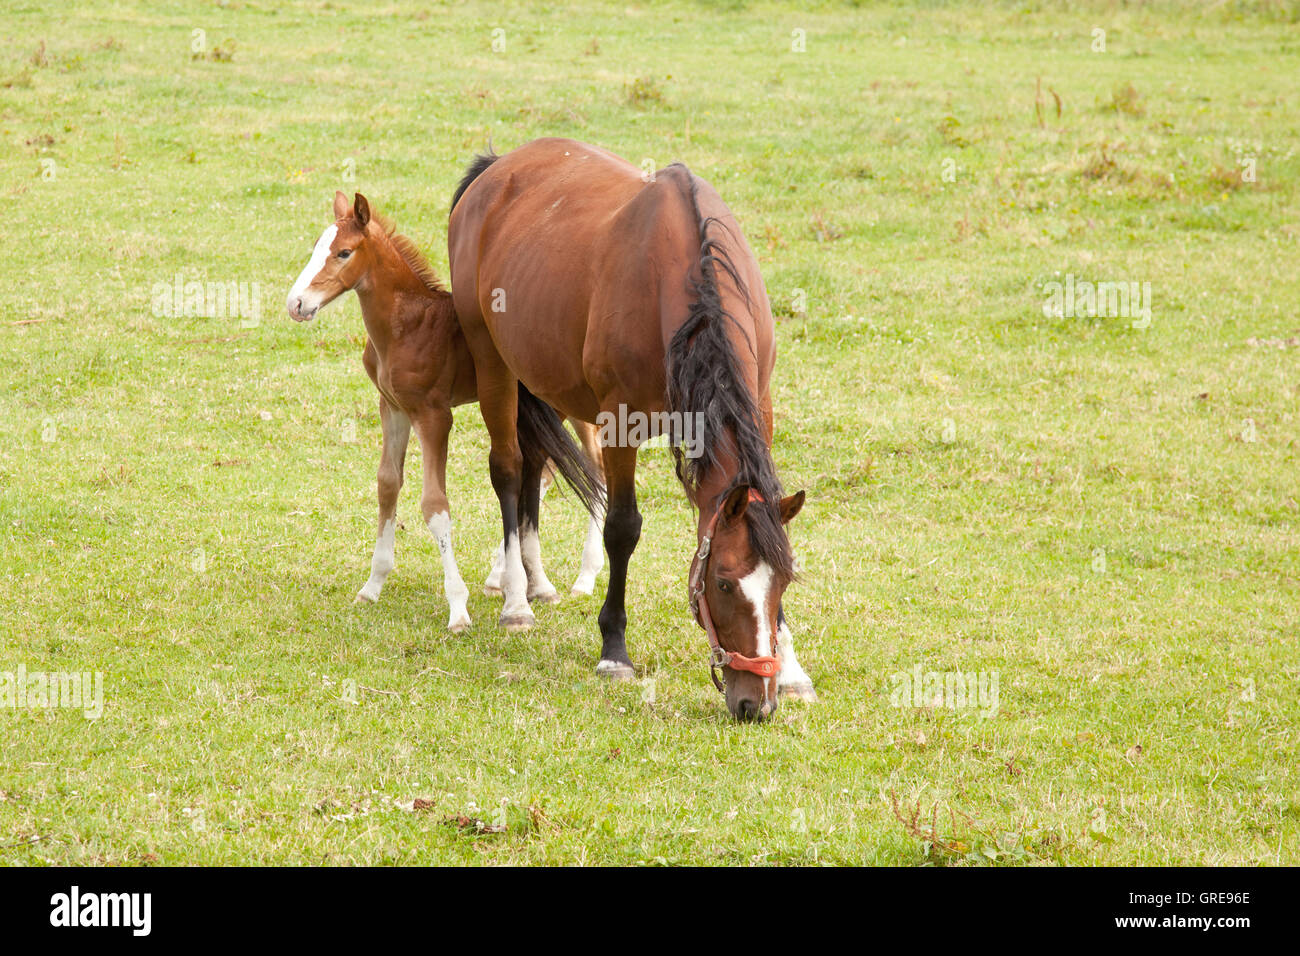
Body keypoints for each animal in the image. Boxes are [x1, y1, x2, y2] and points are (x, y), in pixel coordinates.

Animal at [286, 191, 605, 631]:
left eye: (344, 252)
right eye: (316, 247)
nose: (296, 304)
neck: (408, 325)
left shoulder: (434, 415)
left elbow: (434, 504)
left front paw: (458, 608)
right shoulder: (393, 407)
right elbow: (388, 484)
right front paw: (372, 586)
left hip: (567, 406)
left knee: (595, 470)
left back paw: (583, 578)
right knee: (545, 471)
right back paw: (507, 578)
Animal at [447, 139, 815, 721]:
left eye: (783, 582)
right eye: (723, 583)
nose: (754, 704)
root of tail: (496, 168)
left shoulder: (761, 407)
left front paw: (794, 668)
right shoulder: (619, 421)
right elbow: (622, 528)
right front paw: (614, 649)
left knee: (533, 468)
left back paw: (535, 580)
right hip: (493, 363)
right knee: (507, 470)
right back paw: (516, 601)